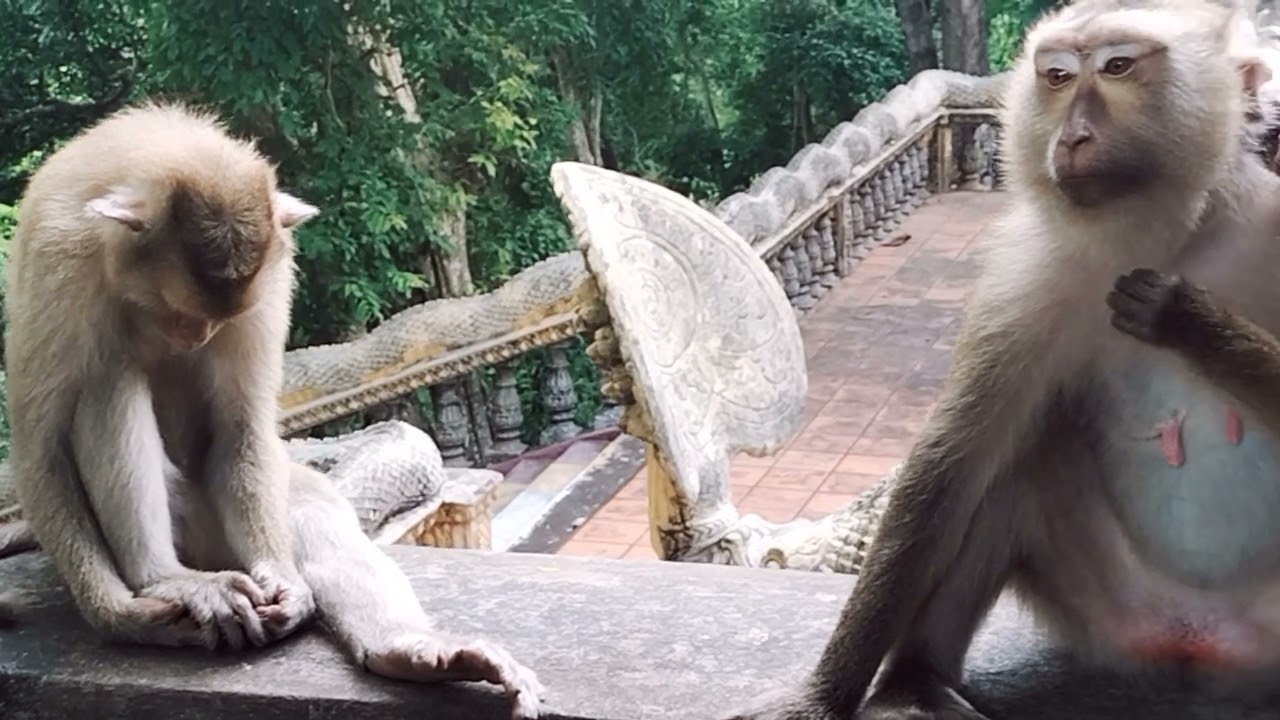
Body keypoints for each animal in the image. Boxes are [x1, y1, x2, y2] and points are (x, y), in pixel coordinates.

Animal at [1, 103, 544, 718]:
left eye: (209, 320)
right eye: (178, 311)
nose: (198, 335)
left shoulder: (272, 275)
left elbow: (242, 425)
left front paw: (285, 580)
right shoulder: (58, 258)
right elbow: (40, 446)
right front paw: (118, 615)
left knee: (310, 505)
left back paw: (405, 648)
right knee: (106, 385)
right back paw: (166, 579)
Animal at [722, 1, 1280, 718]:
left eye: (1118, 67)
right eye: (1058, 76)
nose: (1071, 136)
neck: (1174, 236)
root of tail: (1195, 639)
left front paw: (1186, 316)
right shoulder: (1029, 275)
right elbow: (951, 467)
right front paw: (822, 696)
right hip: (1106, 609)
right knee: (1006, 479)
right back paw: (916, 679)